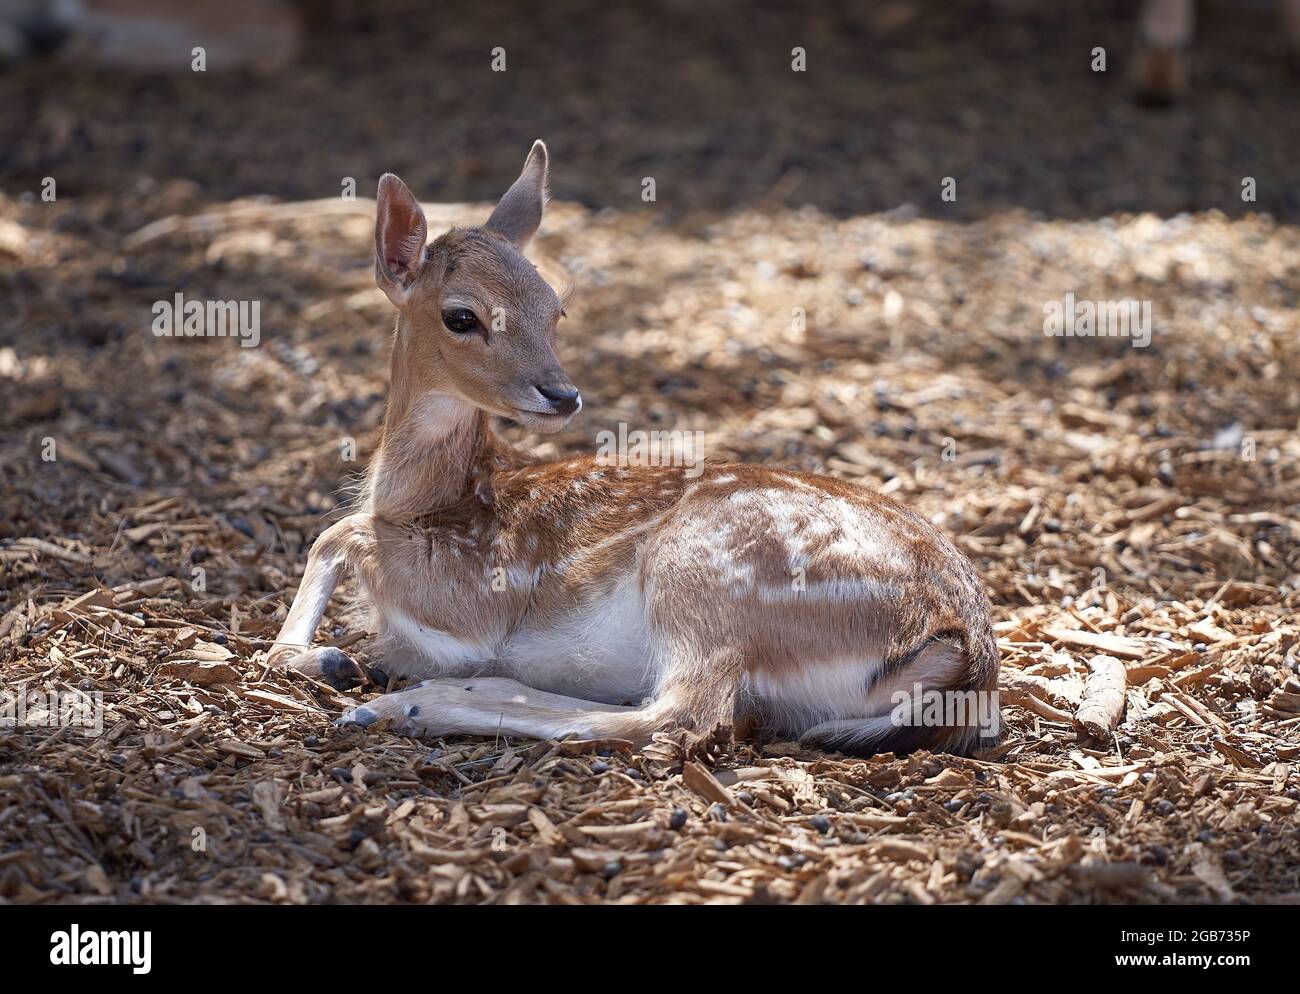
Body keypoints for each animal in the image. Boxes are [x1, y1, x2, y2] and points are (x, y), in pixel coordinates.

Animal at [263, 141, 1001, 756]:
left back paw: (409, 707)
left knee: (680, 715)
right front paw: (330, 657)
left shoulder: (472, 597)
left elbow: (340, 531)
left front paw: (333, 662)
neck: (435, 500)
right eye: (461, 316)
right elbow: (338, 535)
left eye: (554, 309)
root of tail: (964, 656)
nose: (562, 394)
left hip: (705, 572)